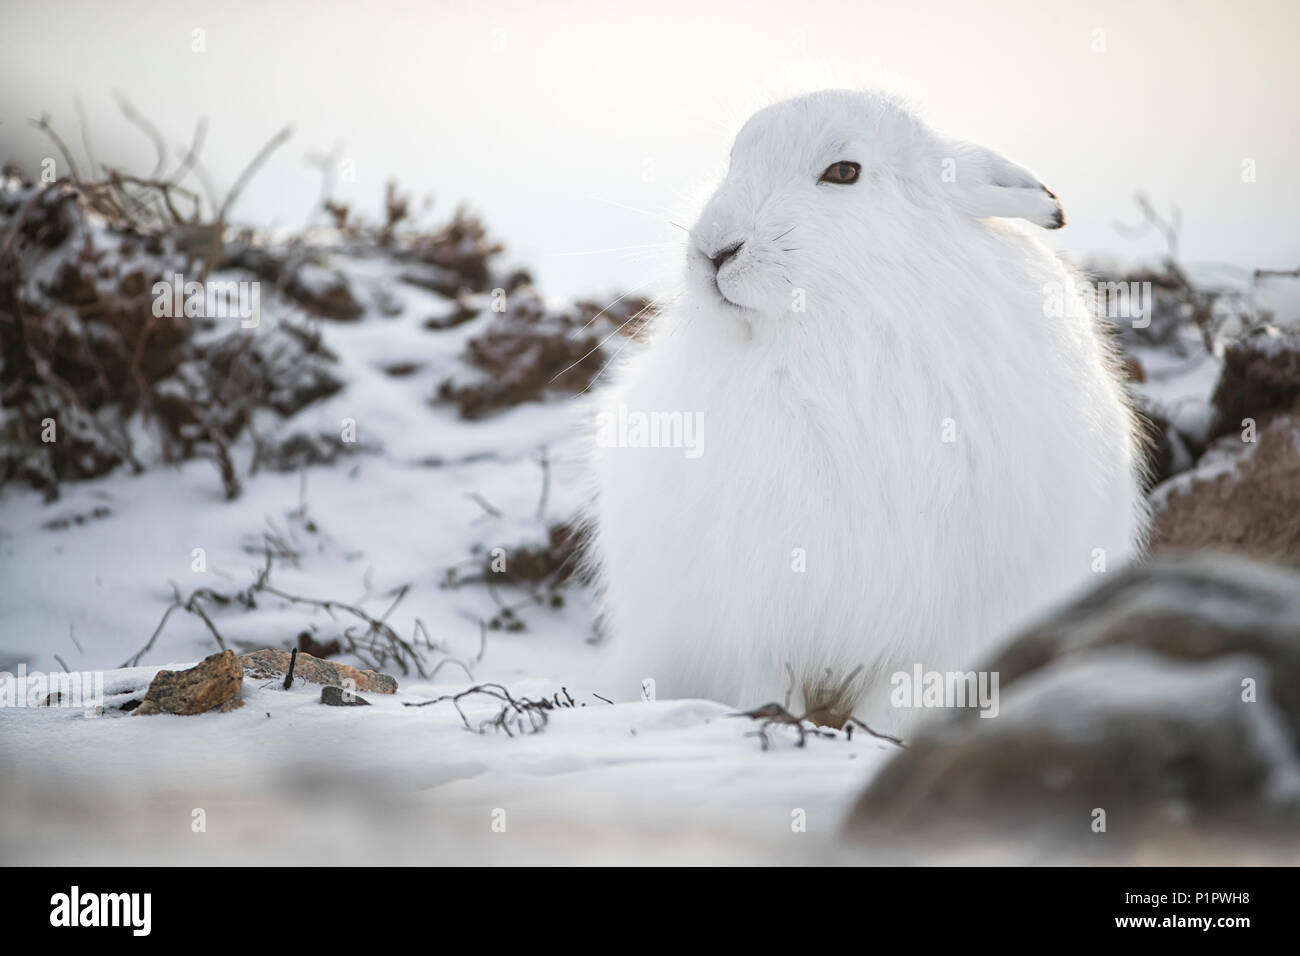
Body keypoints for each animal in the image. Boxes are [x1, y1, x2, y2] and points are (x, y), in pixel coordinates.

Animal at [587, 89, 1148, 734]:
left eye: (843, 172)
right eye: (734, 159)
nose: (714, 250)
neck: (831, 324)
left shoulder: (936, 637)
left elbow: (899, 699)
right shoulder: (755, 610)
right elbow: (766, 678)